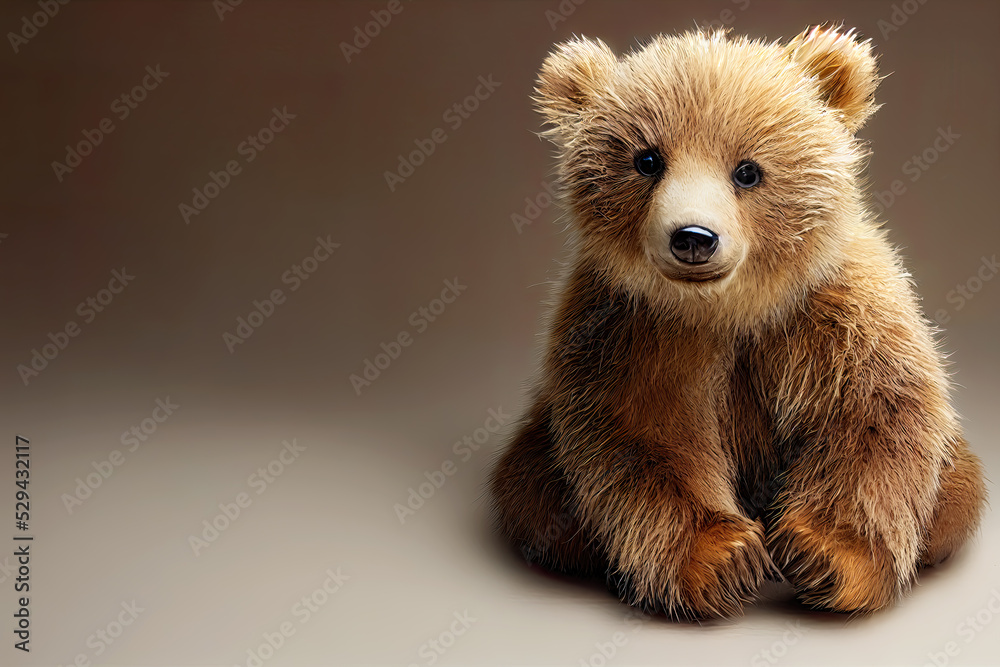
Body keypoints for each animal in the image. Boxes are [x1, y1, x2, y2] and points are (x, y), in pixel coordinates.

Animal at [488, 25, 986, 620]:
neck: (726, 310)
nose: (693, 237)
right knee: (533, 492)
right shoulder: (629, 331)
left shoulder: (835, 314)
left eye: (747, 171)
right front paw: (725, 556)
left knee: (956, 488)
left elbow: (872, 413)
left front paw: (821, 552)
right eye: (647, 159)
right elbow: (644, 436)